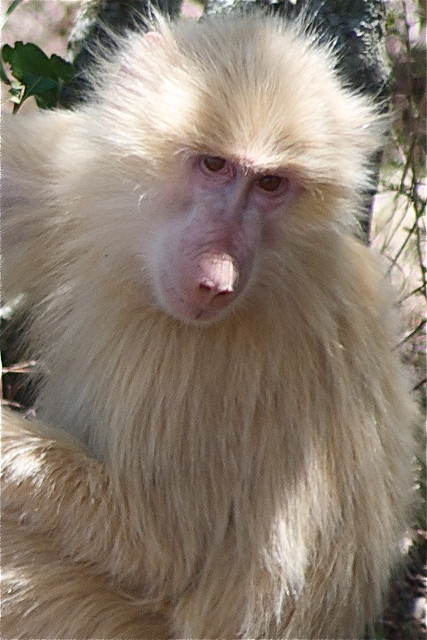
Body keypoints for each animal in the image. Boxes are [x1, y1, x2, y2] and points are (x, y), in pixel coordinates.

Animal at [1, 11, 416, 639]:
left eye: (270, 185)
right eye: (214, 164)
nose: (216, 279)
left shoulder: (198, 363)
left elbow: (160, 552)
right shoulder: (74, 178)